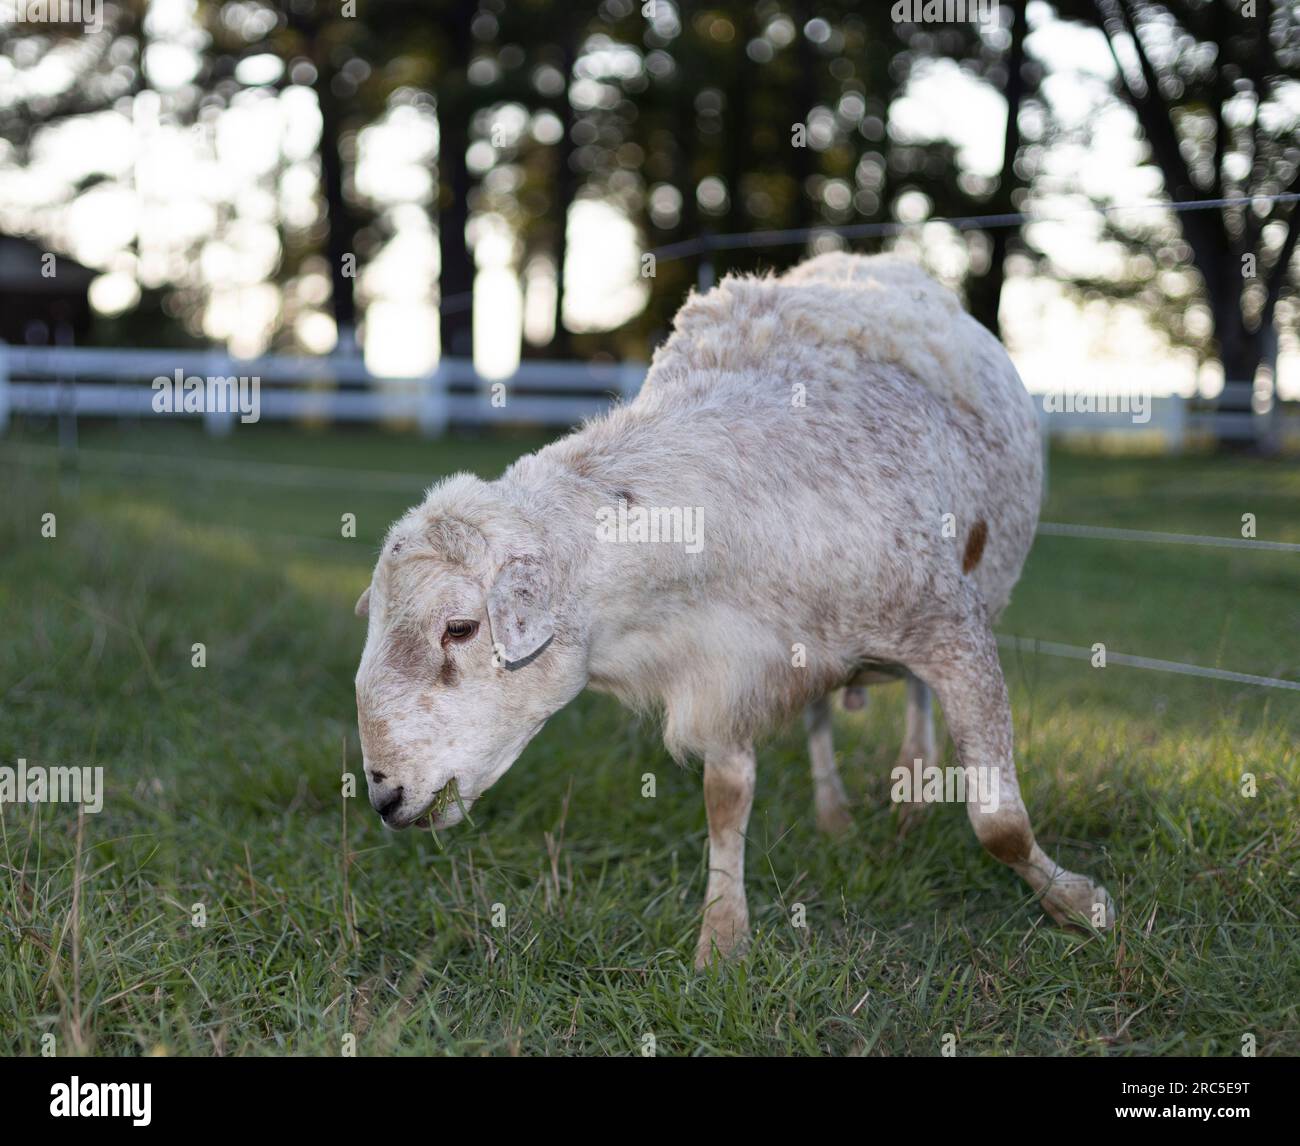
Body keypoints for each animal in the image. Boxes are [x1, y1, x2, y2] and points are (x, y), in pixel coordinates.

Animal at [353, 252, 1115, 968]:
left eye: (460, 627)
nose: (385, 798)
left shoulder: (952, 631)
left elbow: (1000, 823)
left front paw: (1078, 905)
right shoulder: (723, 656)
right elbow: (727, 796)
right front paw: (722, 938)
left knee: (915, 700)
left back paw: (913, 794)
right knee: (819, 716)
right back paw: (835, 813)